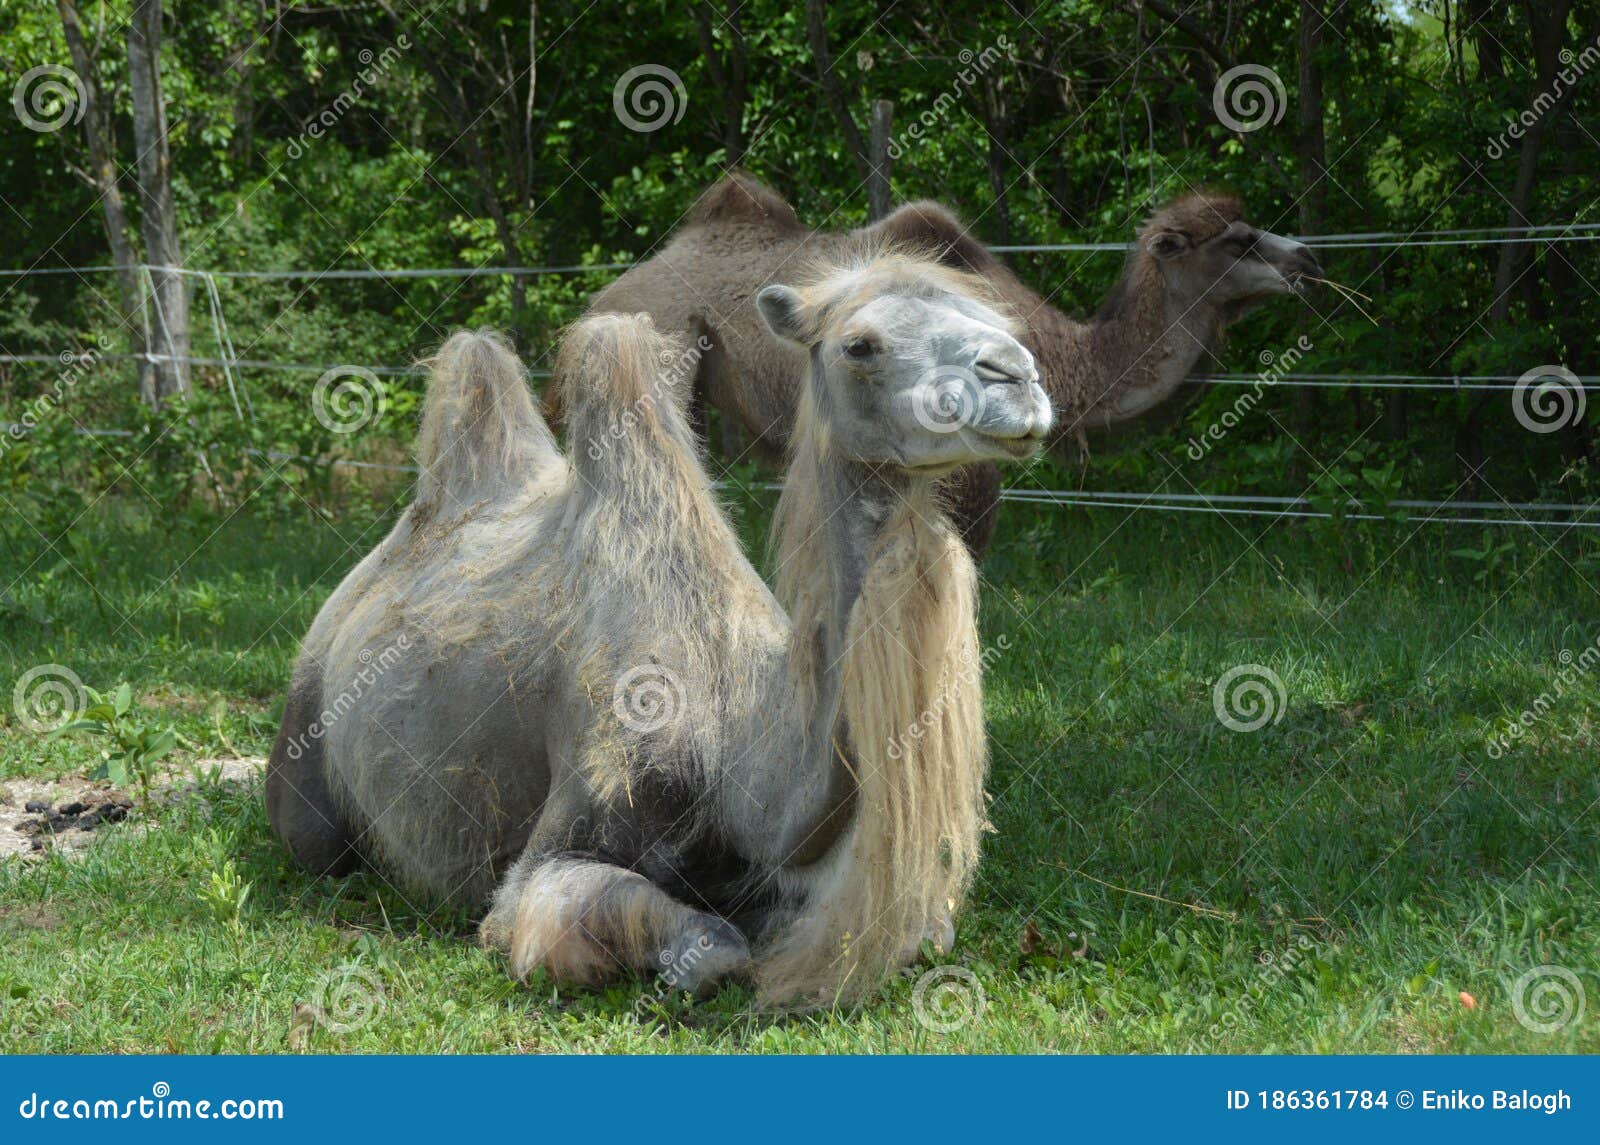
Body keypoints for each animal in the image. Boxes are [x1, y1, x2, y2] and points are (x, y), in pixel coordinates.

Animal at [265, 247, 1051, 1005]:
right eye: (860, 345)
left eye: (999, 318)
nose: (1017, 377)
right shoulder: (559, 846)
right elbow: (707, 945)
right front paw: (680, 969)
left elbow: (930, 934)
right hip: (307, 733)